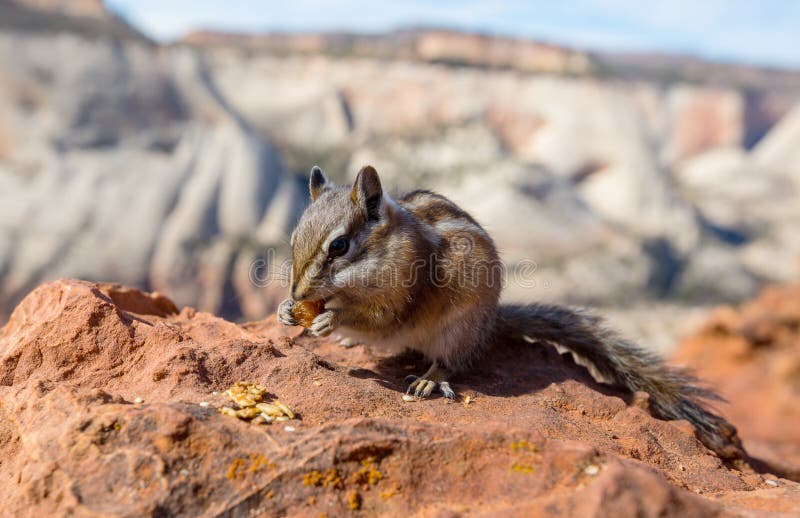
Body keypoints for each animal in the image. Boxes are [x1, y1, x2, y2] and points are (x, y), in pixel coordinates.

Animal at [277, 165, 744, 461]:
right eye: (294, 239)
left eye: (339, 246)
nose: (297, 292)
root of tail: (491, 323)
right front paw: (287, 311)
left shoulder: (401, 294)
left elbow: (380, 320)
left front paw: (332, 319)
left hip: (458, 329)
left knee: (451, 362)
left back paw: (429, 379)